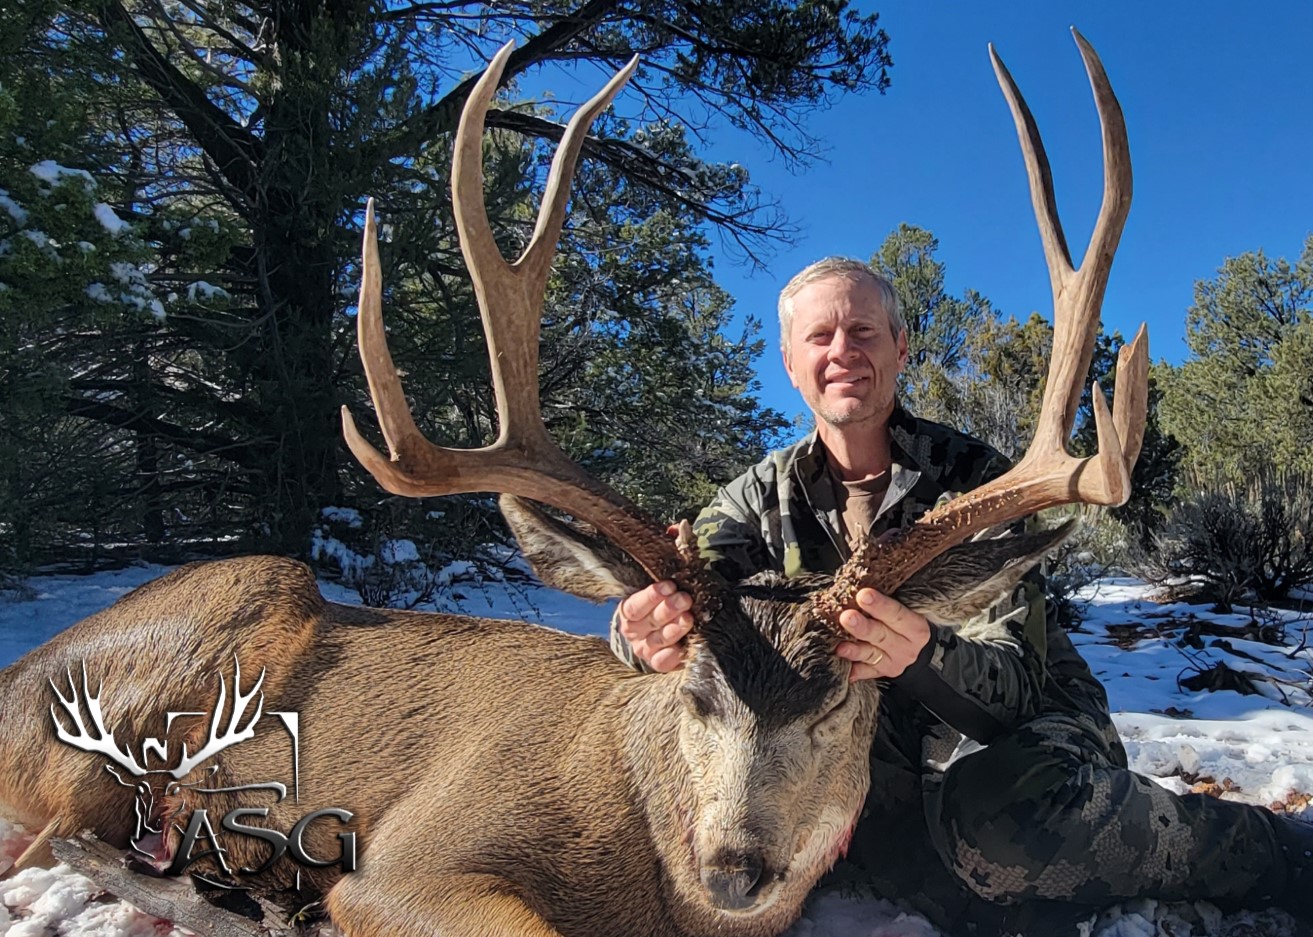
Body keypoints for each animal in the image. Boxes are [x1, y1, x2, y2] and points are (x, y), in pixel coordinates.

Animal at [0, 29, 1145, 937]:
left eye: (838, 706)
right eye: (692, 692)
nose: (734, 868)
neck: (648, 882)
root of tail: (20, 676)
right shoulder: (407, 856)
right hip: (180, 651)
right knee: (56, 835)